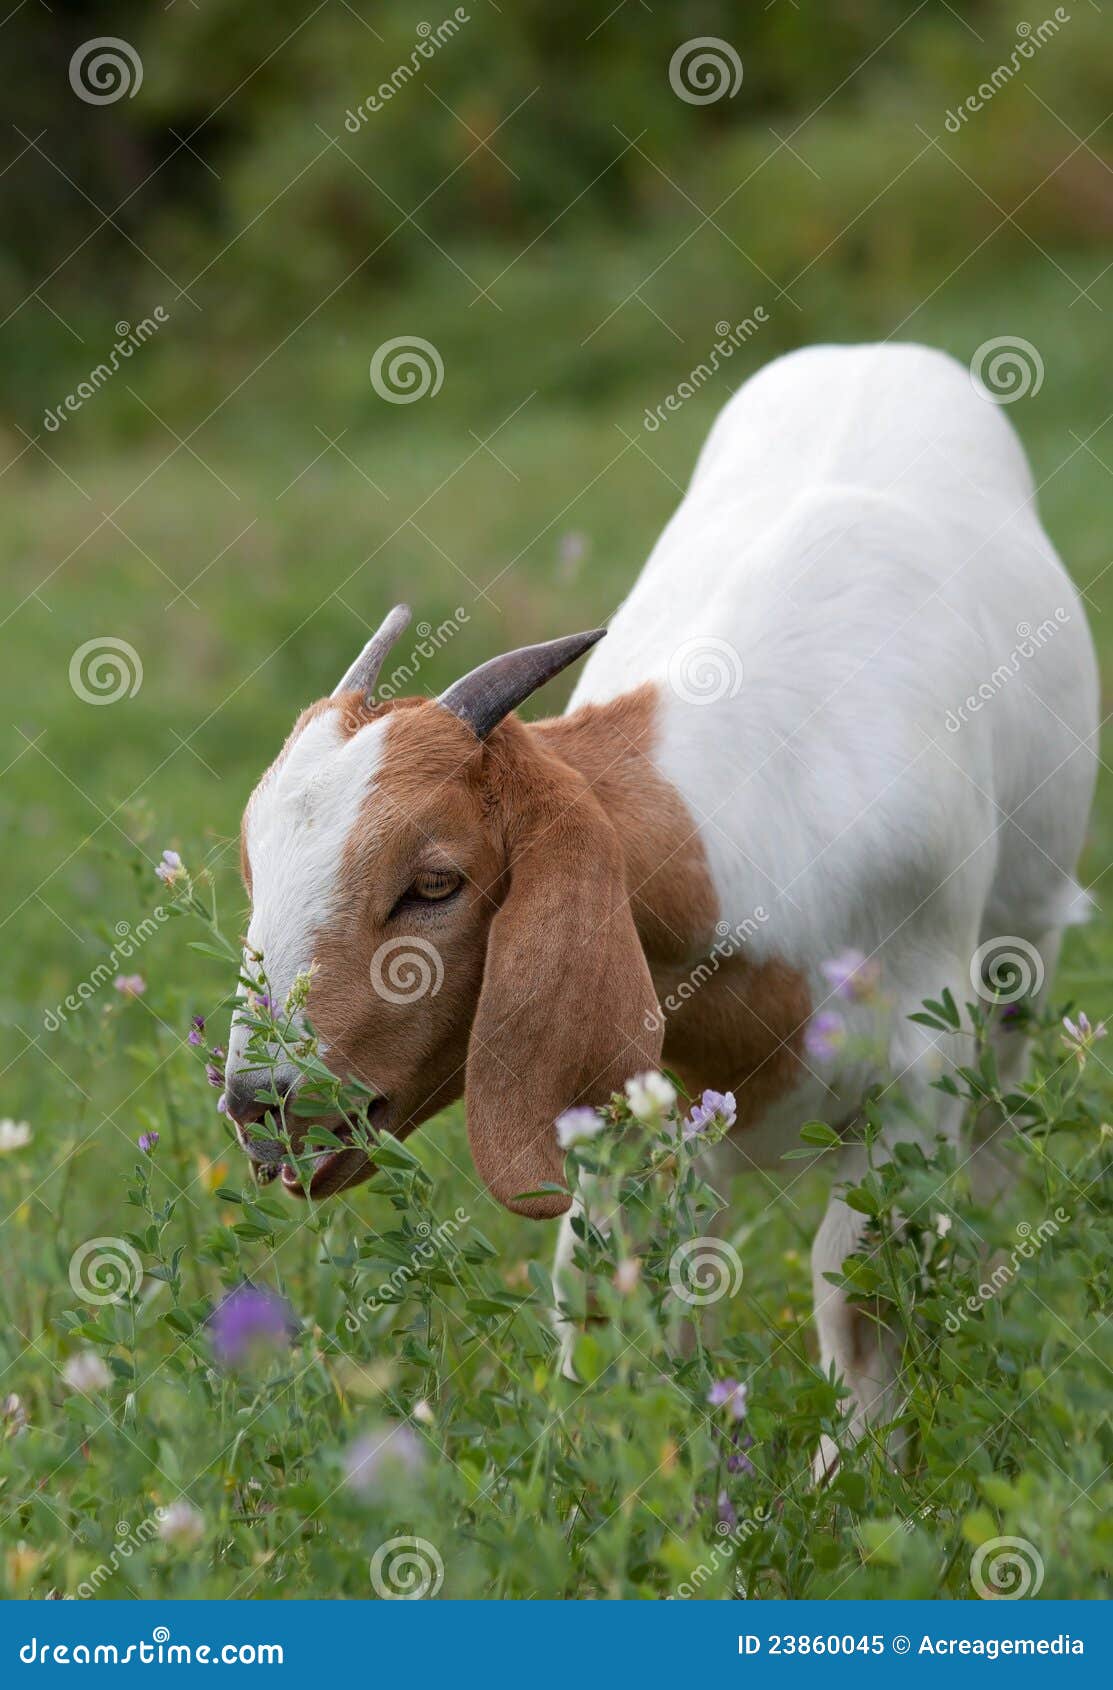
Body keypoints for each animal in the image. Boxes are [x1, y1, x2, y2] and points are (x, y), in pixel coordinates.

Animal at [224, 342, 1097, 1472]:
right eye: (255, 867)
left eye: (434, 883)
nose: (258, 1099)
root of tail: (876, 353)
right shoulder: (627, 1093)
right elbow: (611, 1281)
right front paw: (624, 1461)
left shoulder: (916, 1070)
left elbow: (854, 1293)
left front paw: (851, 1473)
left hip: (1018, 955)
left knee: (994, 1136)